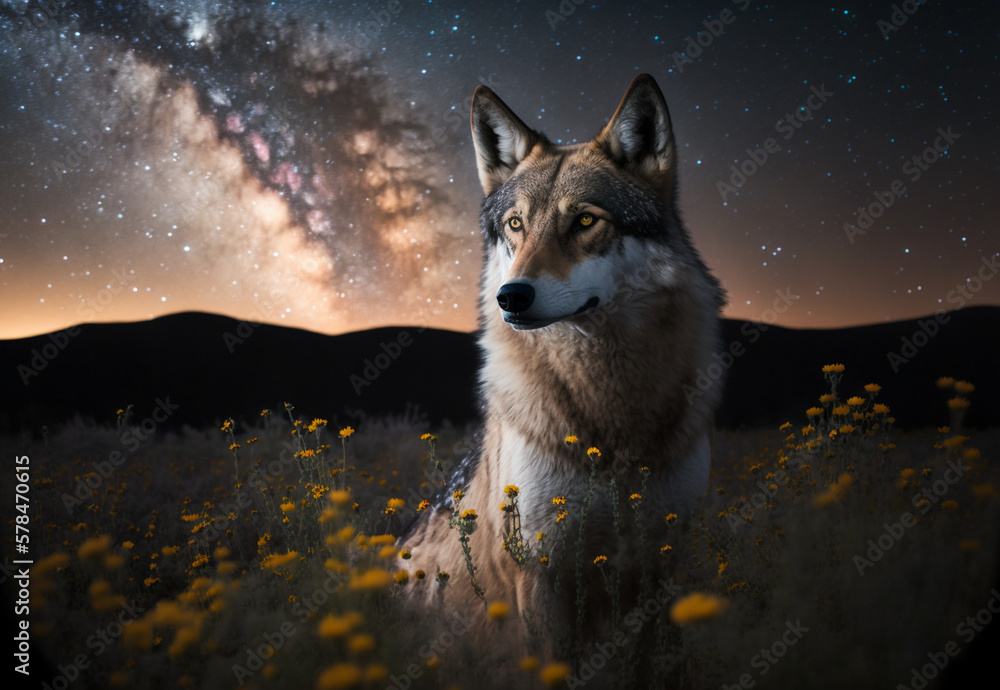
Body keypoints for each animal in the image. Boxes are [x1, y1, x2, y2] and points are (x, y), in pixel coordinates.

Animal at [401, 74, 725, 641]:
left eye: (585, 220)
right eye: (515, 224)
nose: (511, 297)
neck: (610, 418)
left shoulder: (665, 561)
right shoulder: (539, 570)